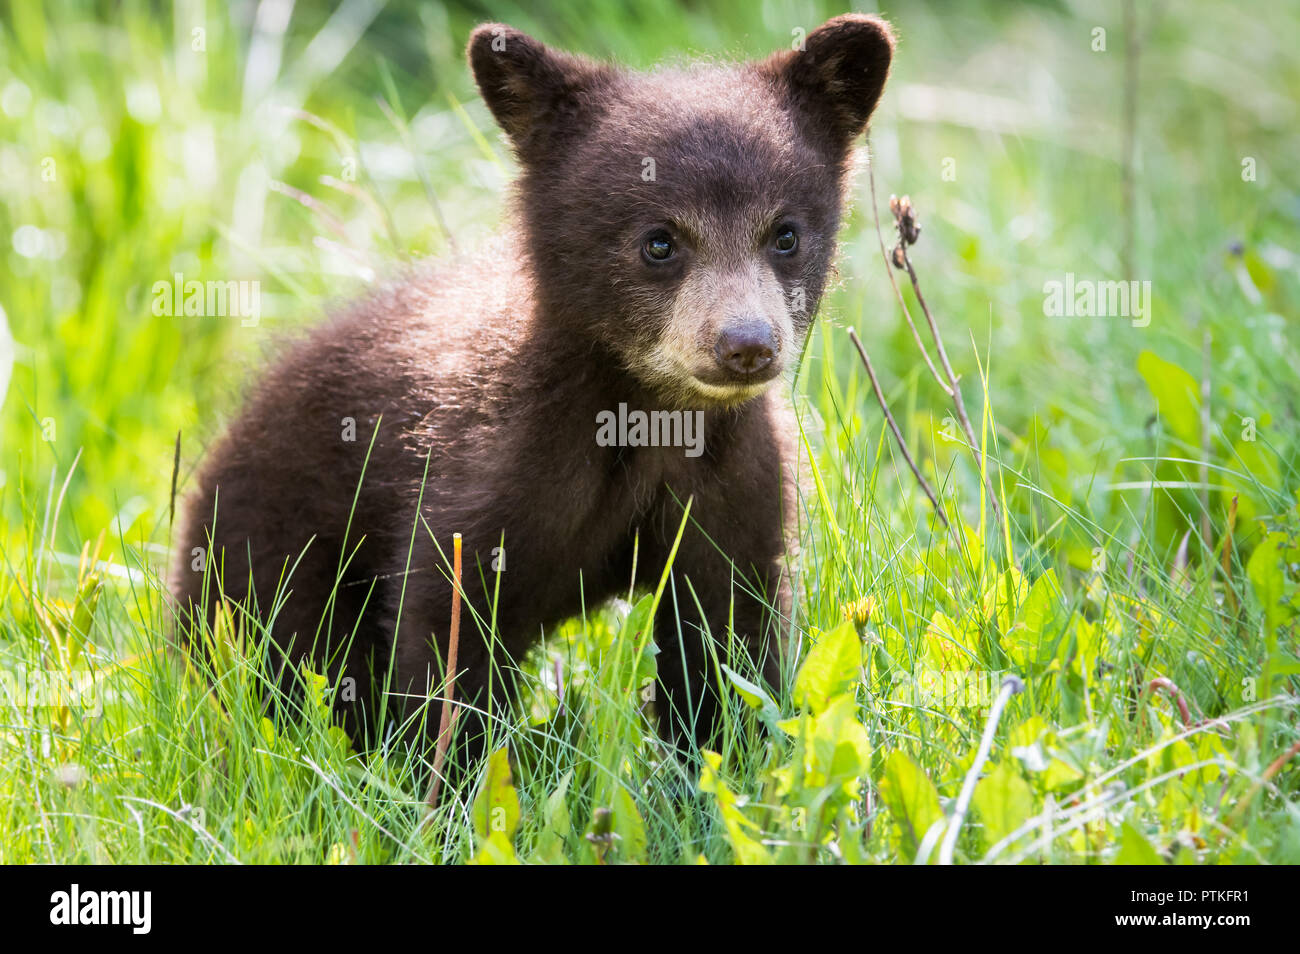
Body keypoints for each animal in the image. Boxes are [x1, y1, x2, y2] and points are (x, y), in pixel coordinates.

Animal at [170, 14, 895, 772]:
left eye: (785, 234)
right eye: (659, 242)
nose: (747, 344)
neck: (648, 418)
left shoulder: (738, 480)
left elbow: (728, 637)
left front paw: (719, 761)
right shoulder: (490, 467)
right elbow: (447, 626)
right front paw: (448, 779)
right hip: (265, 544)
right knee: (284, 654)